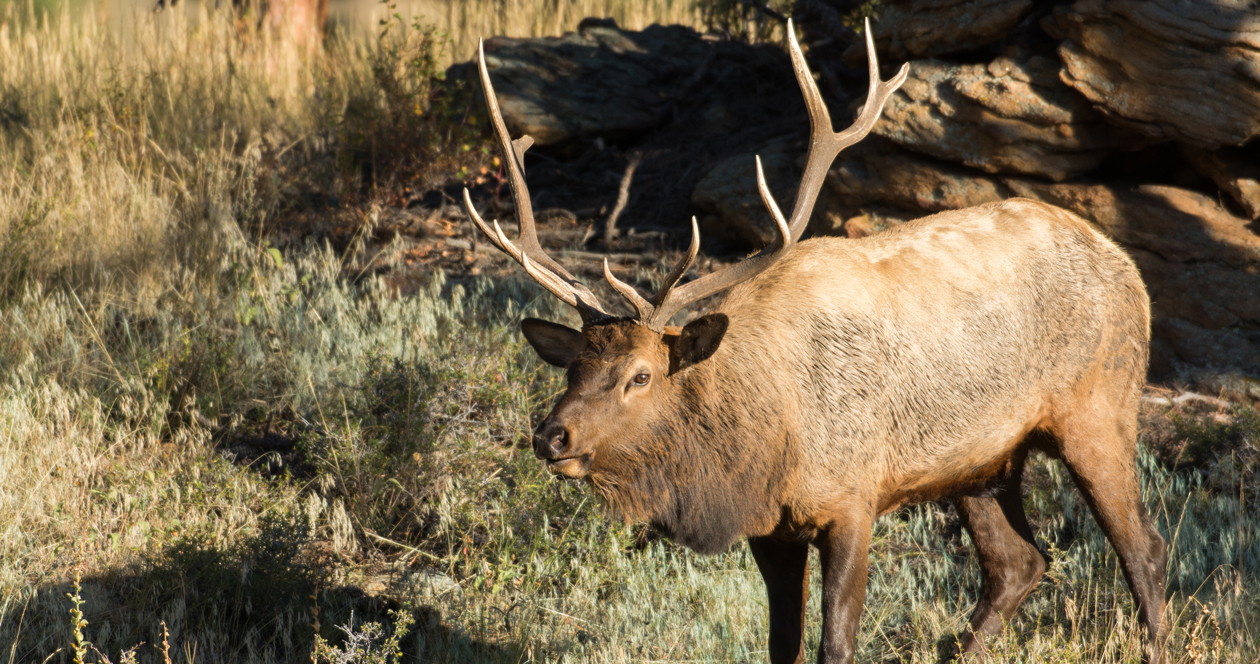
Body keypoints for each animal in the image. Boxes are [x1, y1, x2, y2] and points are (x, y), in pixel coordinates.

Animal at [460, 19, 1167, 664]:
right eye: (572, 368)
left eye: (642, 374)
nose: (551, 436)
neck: (762, 443)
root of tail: (1126, 264)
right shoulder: (770, 529)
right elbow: (782, 644)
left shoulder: (854, 497)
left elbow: (836, 643)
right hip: (983, 461)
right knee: (1019, 564)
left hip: (1100, 406)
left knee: (1145, 550)